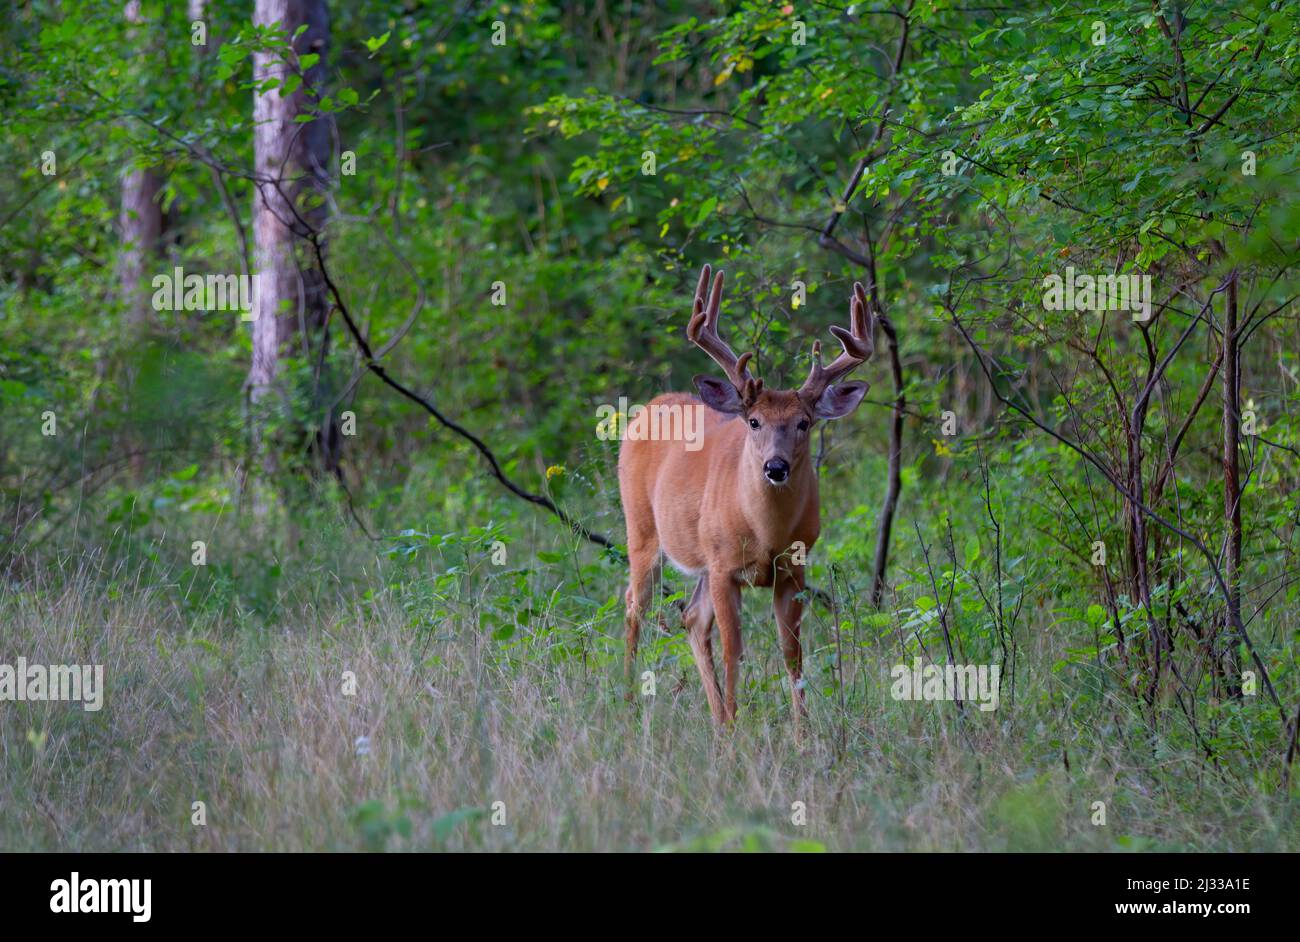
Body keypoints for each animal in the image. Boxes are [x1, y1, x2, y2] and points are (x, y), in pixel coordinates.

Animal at [619, 264, 875, 730]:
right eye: (754, 421)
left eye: (805, 422)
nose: (775, 467)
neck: (765, 532)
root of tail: (649, 407)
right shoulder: (724, 568)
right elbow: (733, 651)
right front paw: (739, 734)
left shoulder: (793, 568)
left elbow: (792, 655)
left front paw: (801, 734)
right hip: (642, 529)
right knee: (635, 607)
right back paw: (629, 704)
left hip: (698, 554)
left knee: (691, 619)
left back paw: (717, 718)